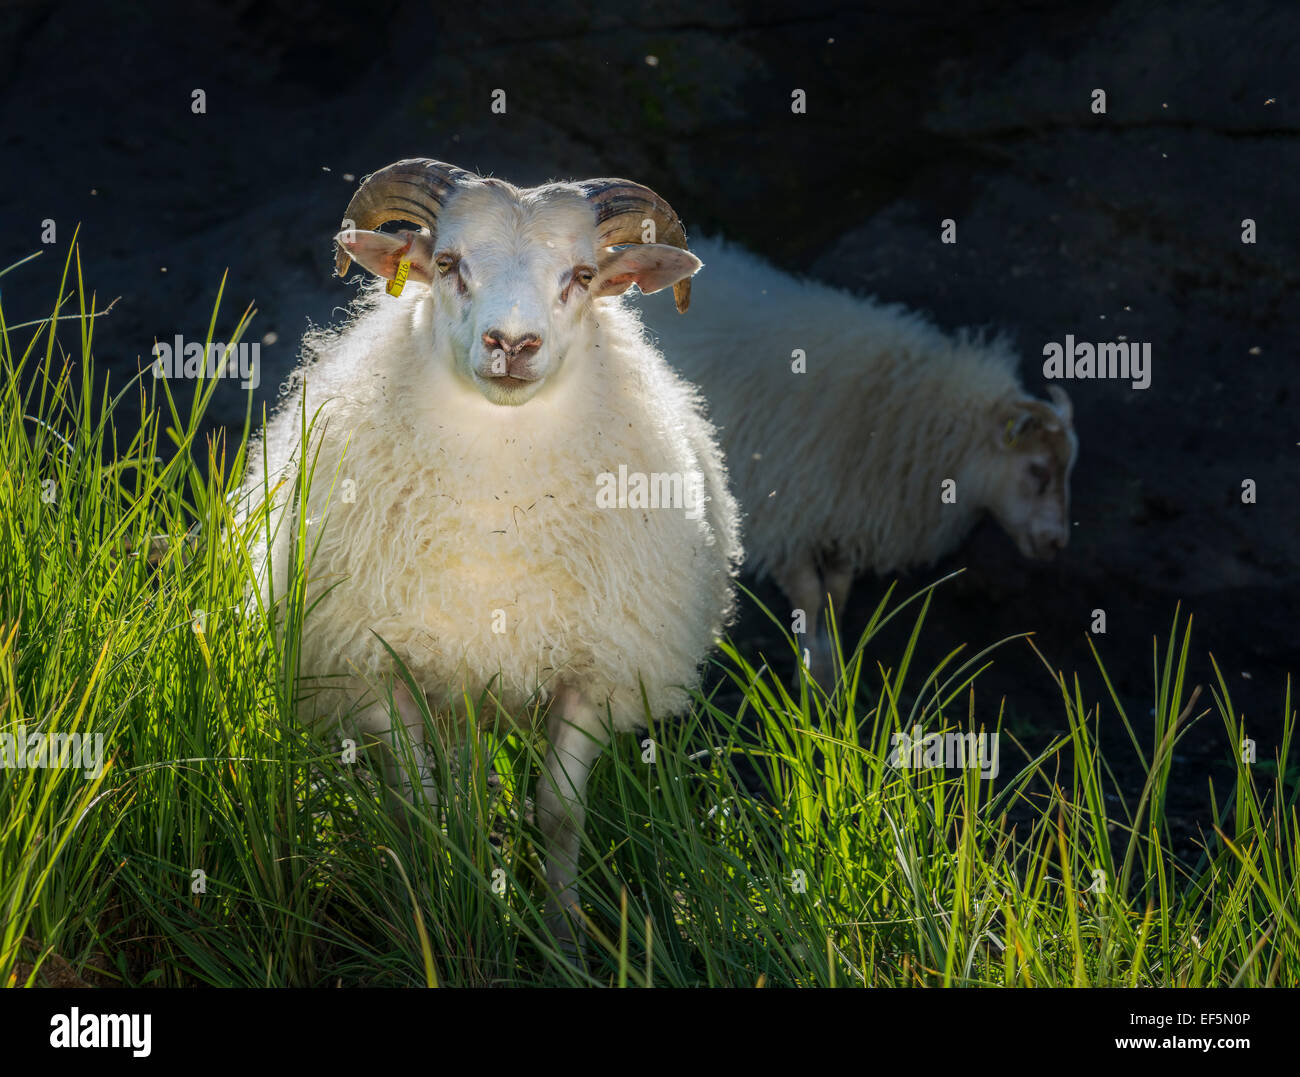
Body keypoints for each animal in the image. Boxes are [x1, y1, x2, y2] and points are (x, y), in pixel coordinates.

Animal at [244, 160, 741, 942]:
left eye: (582, 274)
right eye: (448, 264)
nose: (513, 343)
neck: (500, 502)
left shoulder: (593, 672)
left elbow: (560, 814)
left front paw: (564, 935)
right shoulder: (374, 669)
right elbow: (416, 812)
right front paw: (423, 921)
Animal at [634, 236, 1077, 679]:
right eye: (1038, 470)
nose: (1057, 543)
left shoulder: (845, 517)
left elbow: (837, 595)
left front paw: (834, 667)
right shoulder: (785, 517)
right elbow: (809, 596)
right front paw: (810, 673)